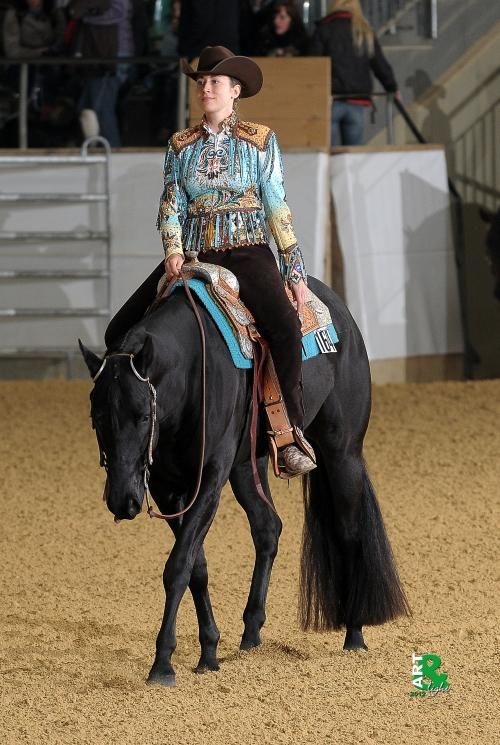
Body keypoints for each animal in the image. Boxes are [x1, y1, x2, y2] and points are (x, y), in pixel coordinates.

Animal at [79, 263, 410, 686]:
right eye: (97, 417)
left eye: (141, 415)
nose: (124, 500)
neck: (193, 373)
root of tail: (341, 311)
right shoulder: (170, 487)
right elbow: (196, 566)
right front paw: (208, 651)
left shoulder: (211, 478)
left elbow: (177, 566)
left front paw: (162, 664)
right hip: (246, 468)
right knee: (268, 528)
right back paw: (251, 633)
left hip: (343, 451)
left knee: (349, 532)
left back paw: (354, 634)